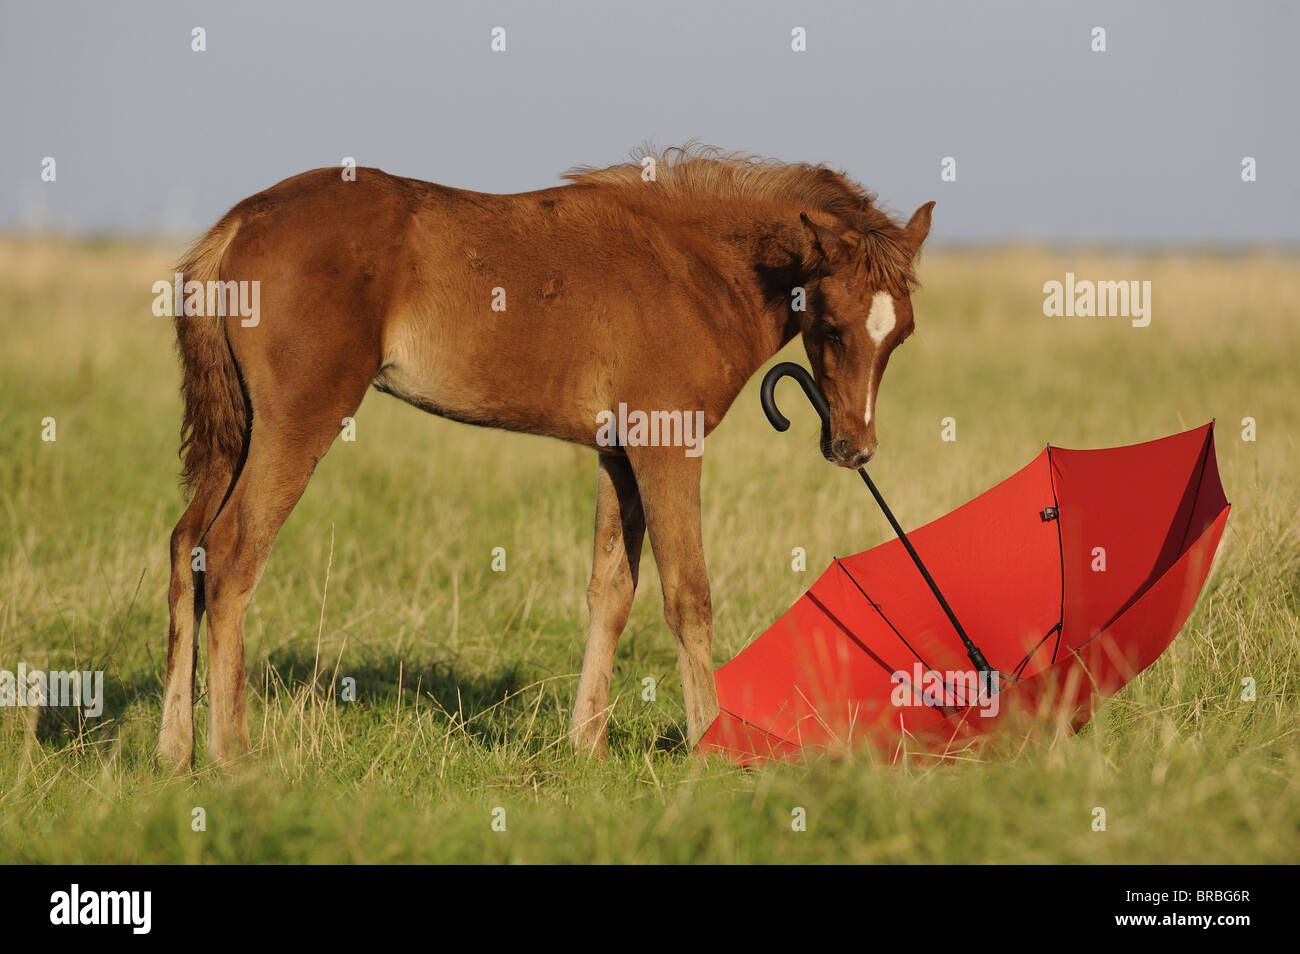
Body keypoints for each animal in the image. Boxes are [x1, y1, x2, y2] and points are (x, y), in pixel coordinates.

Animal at [156, 145, 934, 767]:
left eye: (901, 333)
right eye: (830, 327)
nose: (852, 448)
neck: (694, 269)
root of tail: (242, 222)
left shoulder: (619, 450)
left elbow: (611, 591)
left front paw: (586, 744)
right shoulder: (667, 442)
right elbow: (689, 594)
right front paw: (710, 742)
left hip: (239, 432)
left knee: (187, 545)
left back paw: (174, 752)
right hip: (299, 420)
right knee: (231, 556)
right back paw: (233, 755)